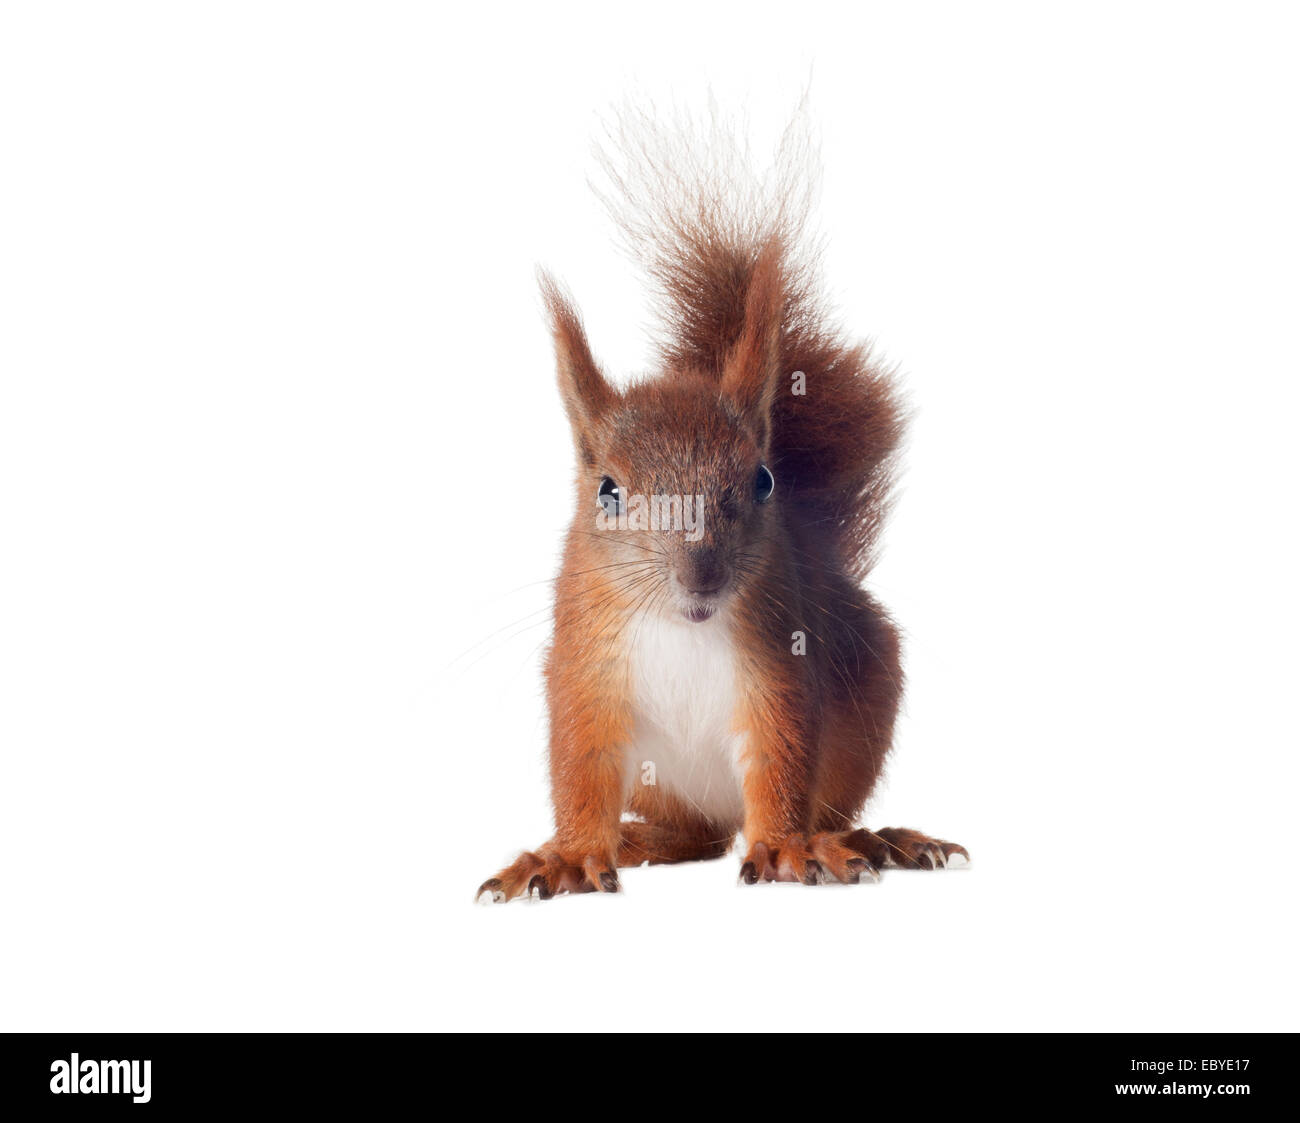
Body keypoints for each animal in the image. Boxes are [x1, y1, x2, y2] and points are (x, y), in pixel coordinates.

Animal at [477, 111, 967, 901]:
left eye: (763, 481)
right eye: (609, 491)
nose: (701, 575)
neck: (683, 628)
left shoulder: (780, 658)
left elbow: (780, 758)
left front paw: (786, 850)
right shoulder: (586, 669)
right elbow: (582, 765)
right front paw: (569, 855)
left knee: (790, 813)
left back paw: (866, 837)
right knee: (696, 832)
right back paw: (636, 839)